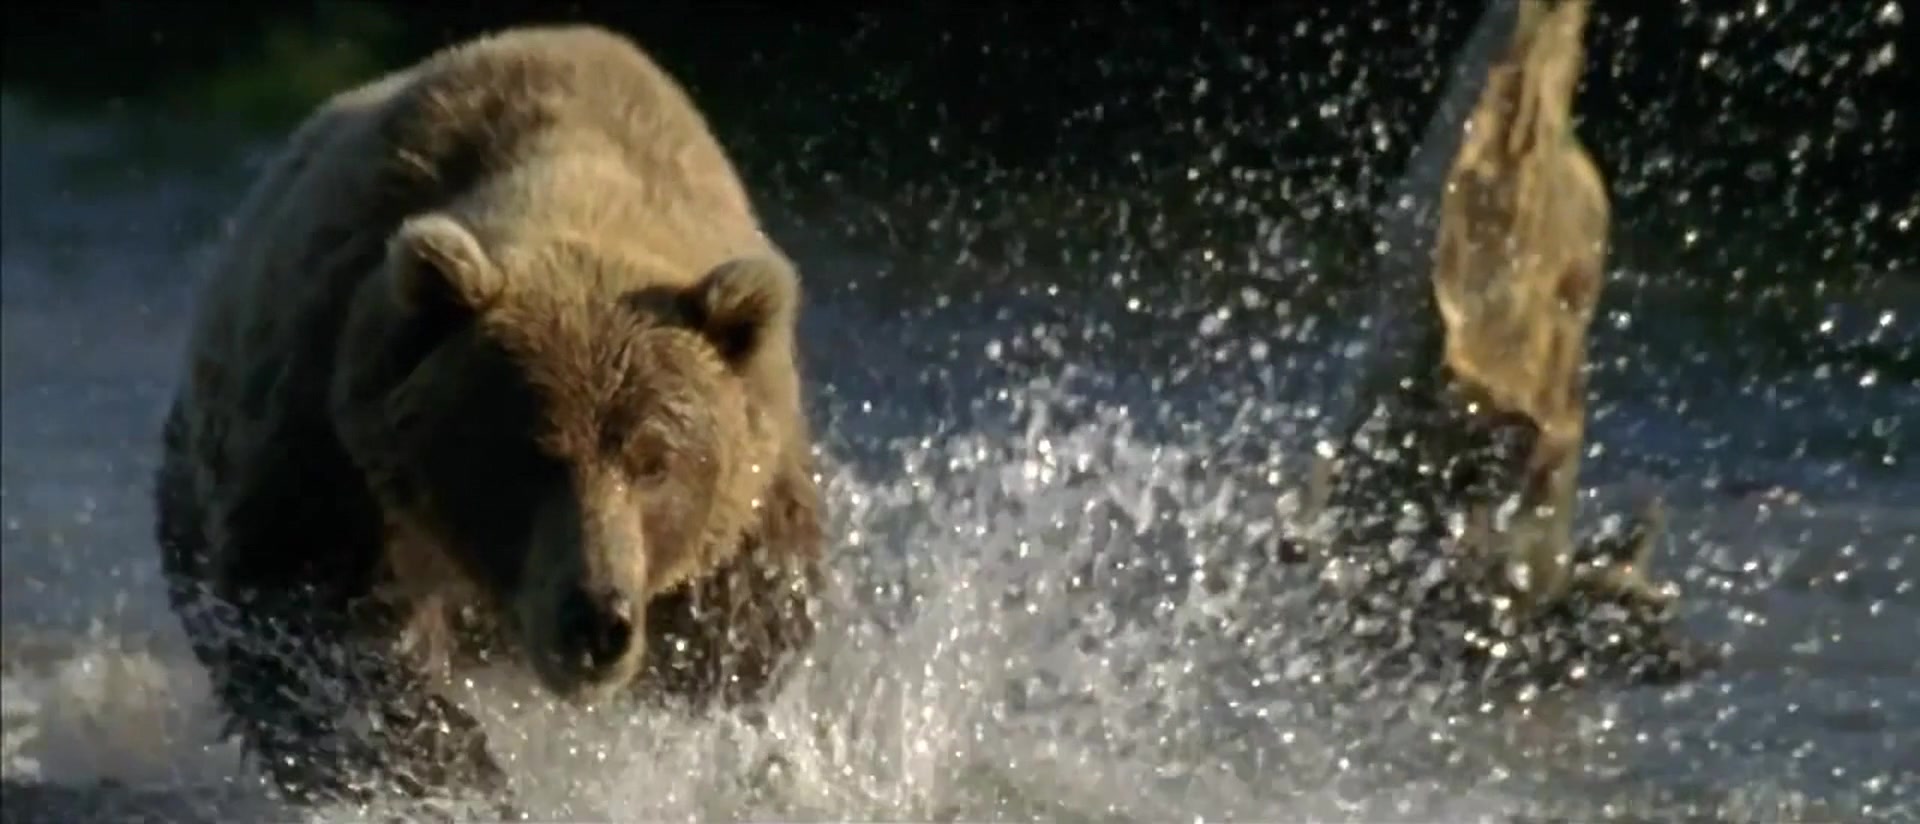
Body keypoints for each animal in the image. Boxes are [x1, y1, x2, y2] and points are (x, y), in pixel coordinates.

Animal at [152, 24, 826, 809]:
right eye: (529, 453)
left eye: (655, 462)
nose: (597, 620)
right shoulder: (332, 451)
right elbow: (315, 638)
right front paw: (455, 781)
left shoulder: (749, 509)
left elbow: (741, 646)